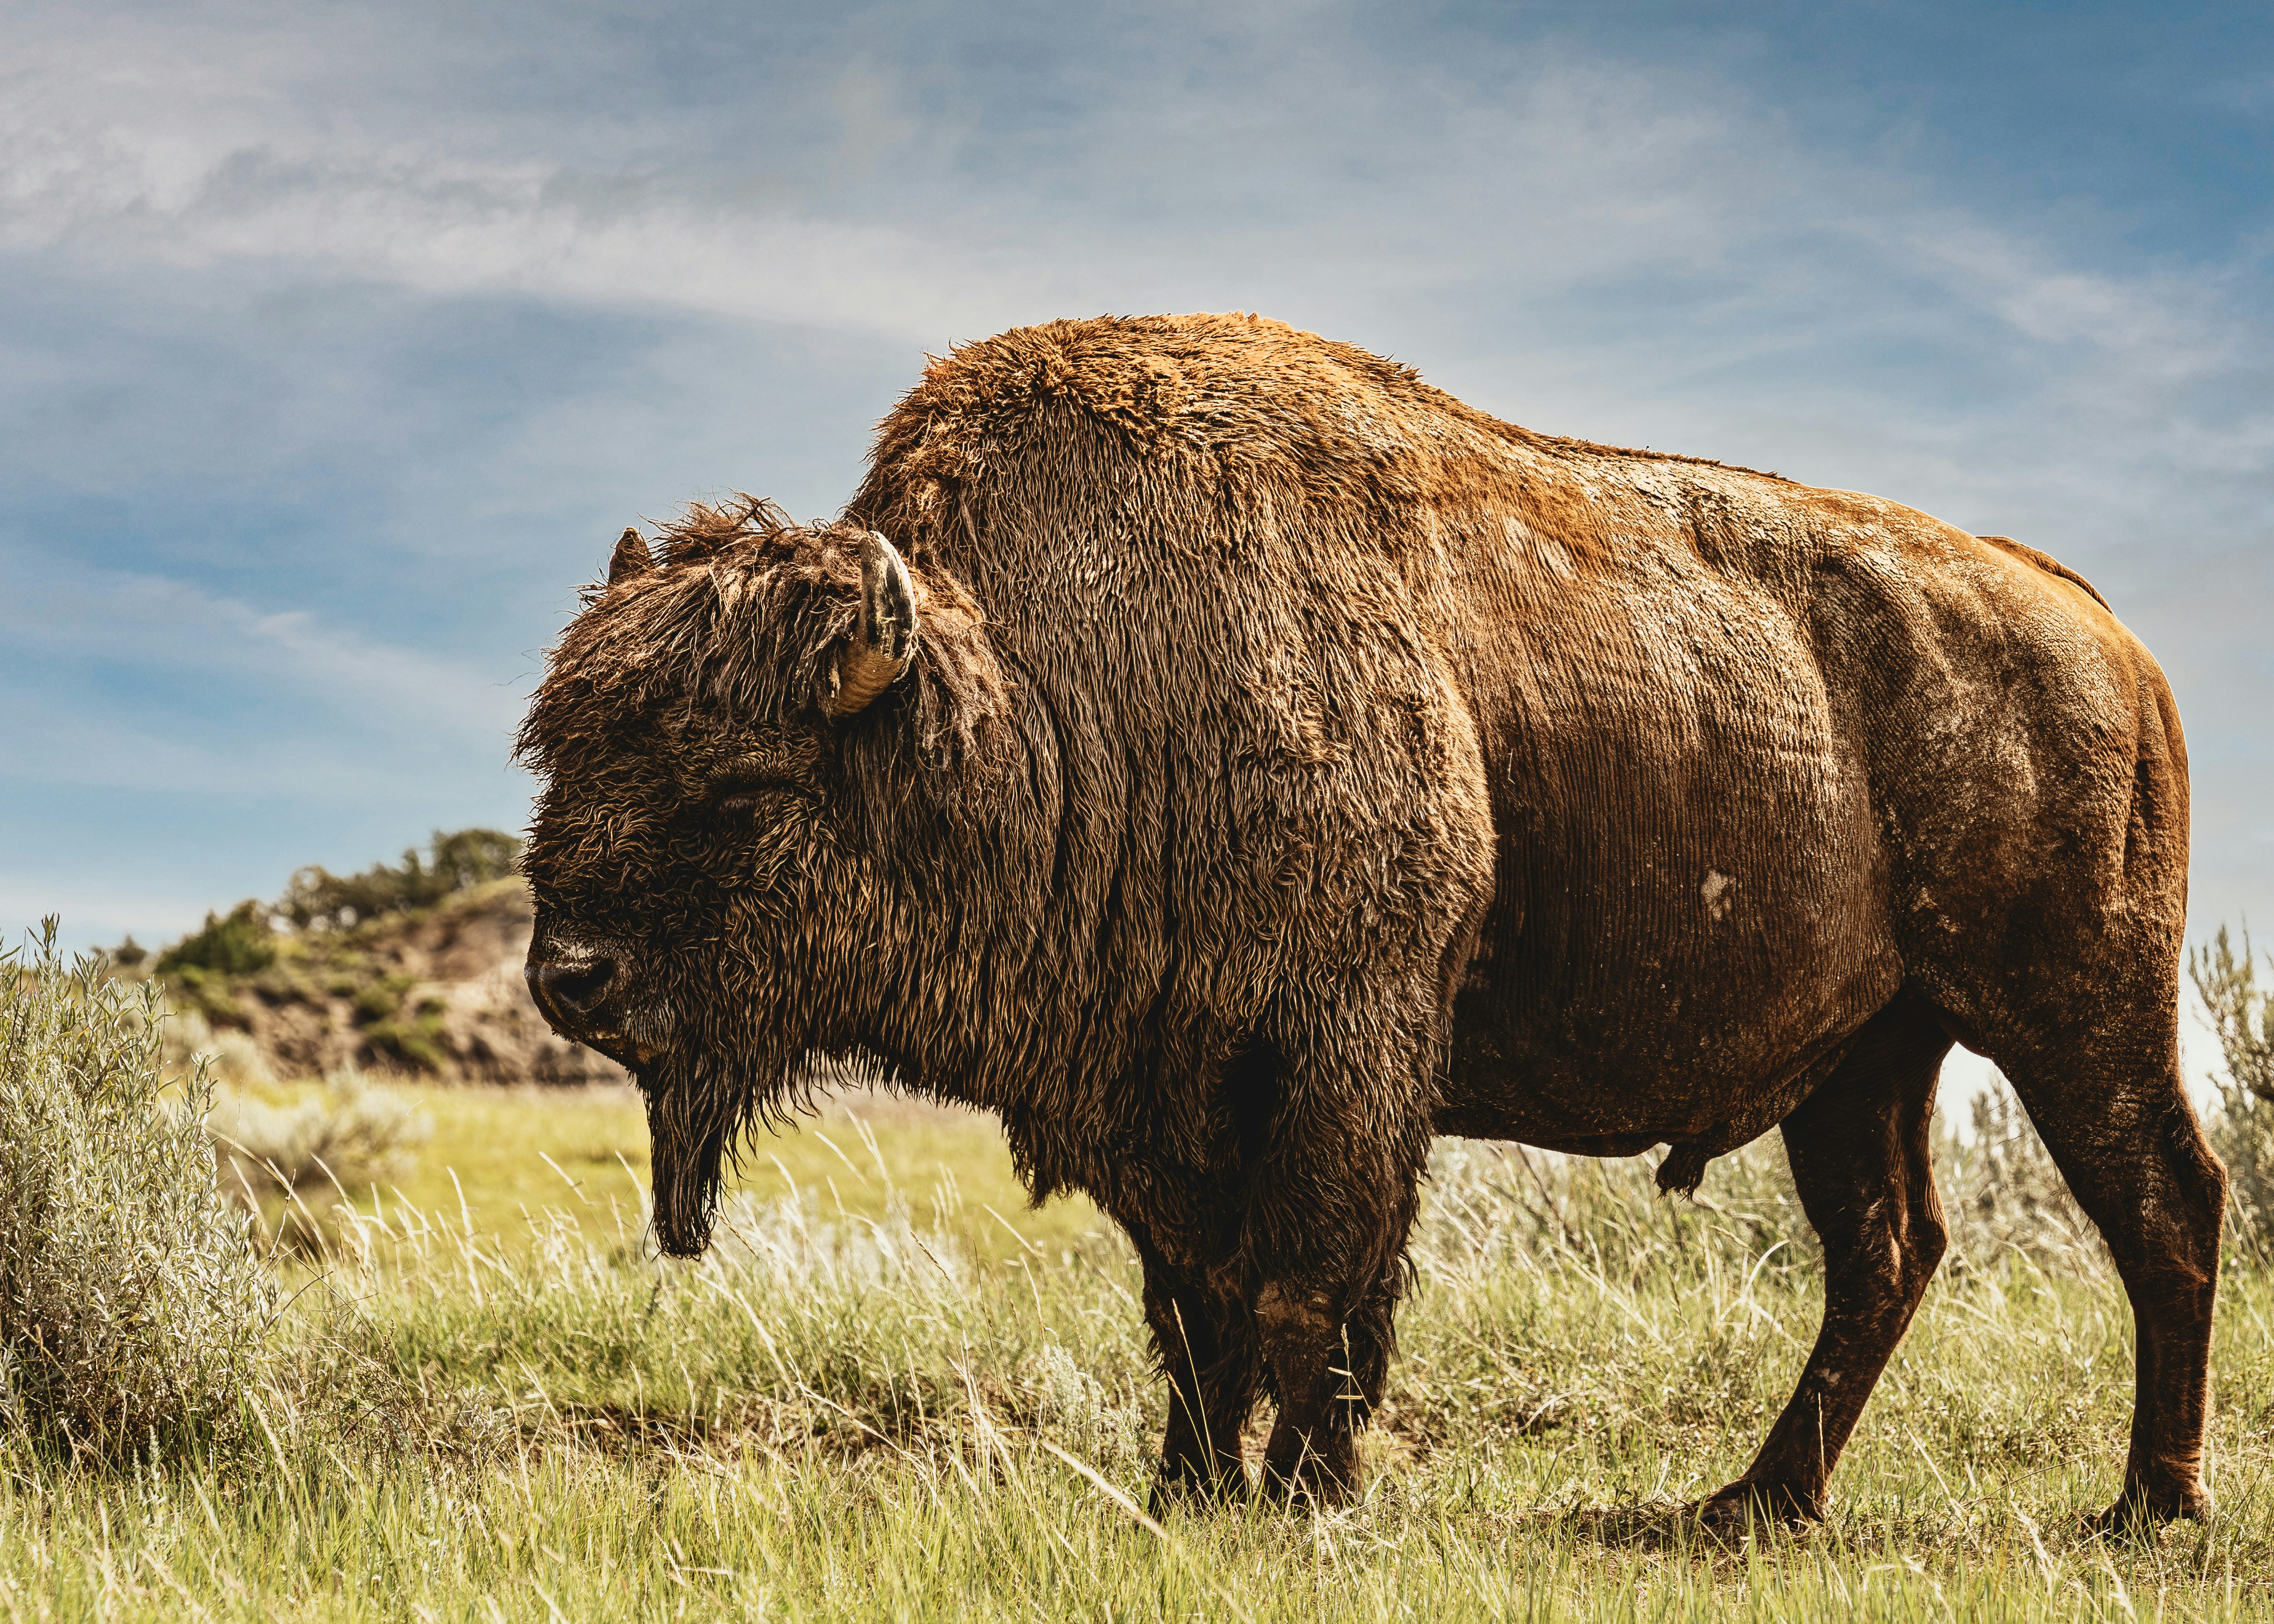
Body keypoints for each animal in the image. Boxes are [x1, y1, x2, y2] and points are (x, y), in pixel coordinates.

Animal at [521, 313, 2220, 1527]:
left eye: (742, 781)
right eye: (564, 752)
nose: (569, 977)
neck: (1045, 696)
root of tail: (2101, 629)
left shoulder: (1343, 1051)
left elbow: (1317, 1283)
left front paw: (1306, 1496)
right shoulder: (1160, 1095)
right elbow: (1194, 1306)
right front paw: (1182, 1494)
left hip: (2075, 1010)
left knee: (2165, 1205)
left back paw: (2145, 1505)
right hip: (1871, 1057)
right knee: (1888, 1247)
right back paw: (1753, 1504)